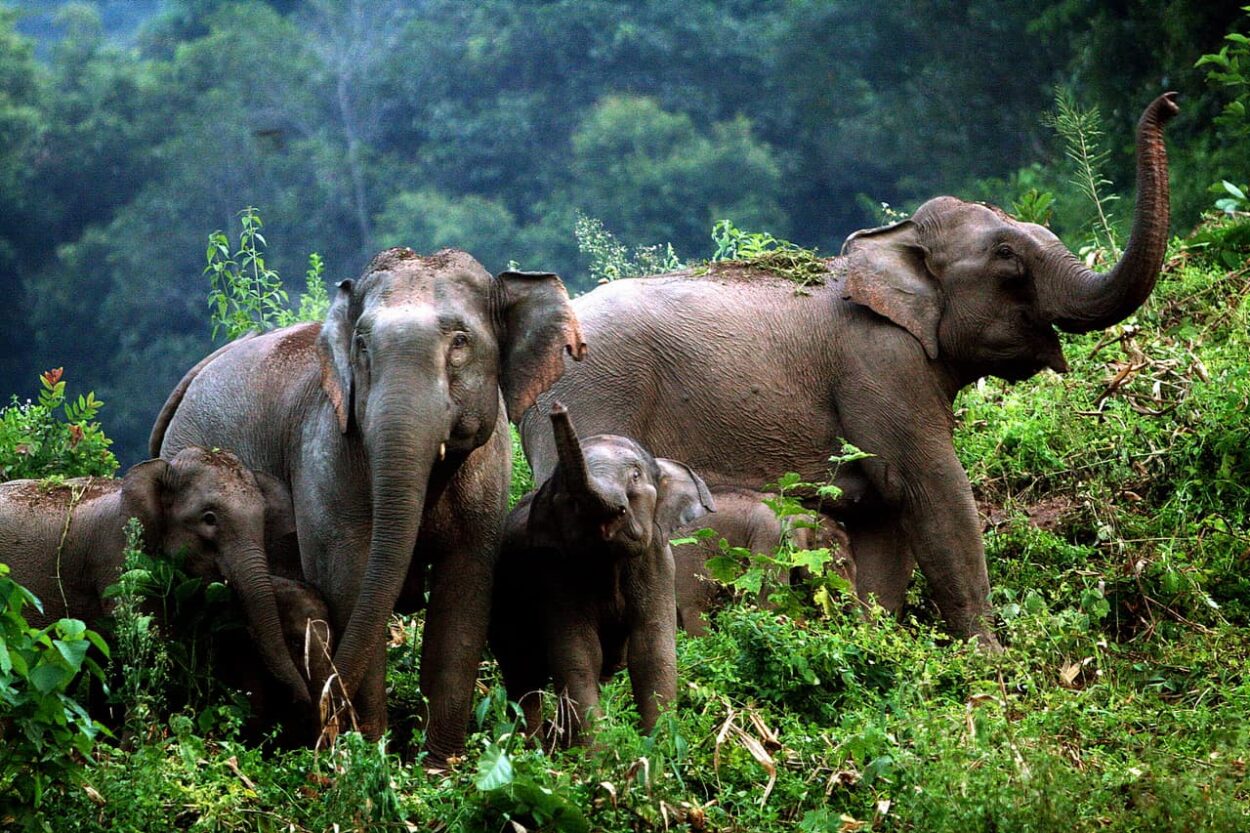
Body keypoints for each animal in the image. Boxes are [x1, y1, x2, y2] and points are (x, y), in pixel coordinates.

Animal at [149, 247, 585, 761]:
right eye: (361, 345)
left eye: (460, 341)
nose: (320, 719)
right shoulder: (326, 454)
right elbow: (352, 583)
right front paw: (370, 756)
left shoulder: (487, 470)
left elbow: (464, 596)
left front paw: (438, 766)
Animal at [489, 403, 714, 746]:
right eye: (565, 489)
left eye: (635, 475)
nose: (558, 407)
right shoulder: (553, 572)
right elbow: (578, 654)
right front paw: (597, 754)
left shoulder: (659, 565)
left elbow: (651, 651)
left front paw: (656, 749)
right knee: (523, 673)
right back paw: (534, 746)